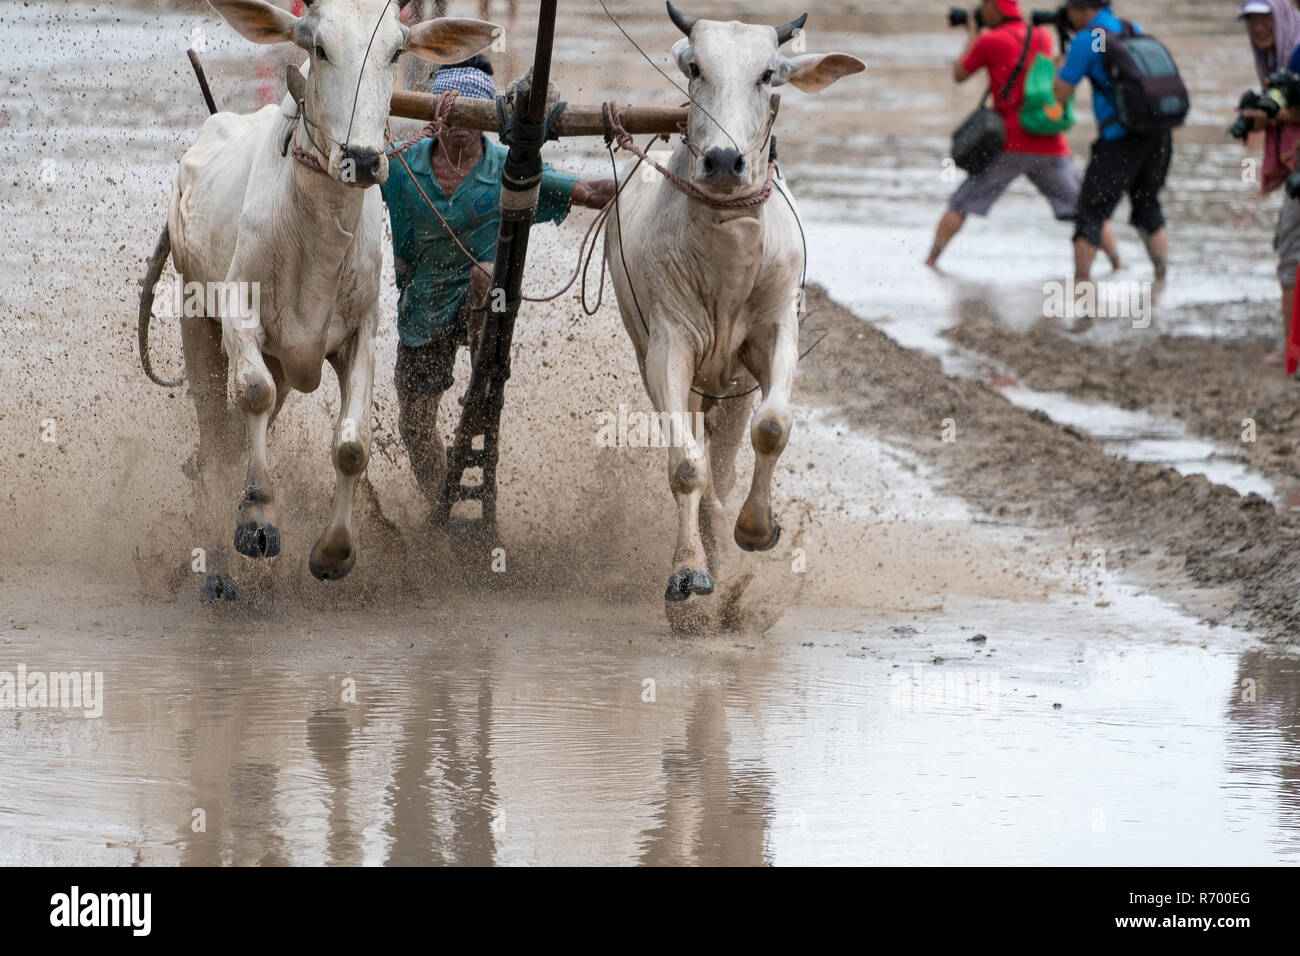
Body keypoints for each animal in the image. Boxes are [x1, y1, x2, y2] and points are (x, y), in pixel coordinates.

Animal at [144, 0, 498, 594]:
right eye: (319, 48)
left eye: (396, 52)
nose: (363, 158)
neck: (315, 231)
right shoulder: (239, 315)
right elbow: (254, 395)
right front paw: (257, 520)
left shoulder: (360, 334)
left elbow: (352, 446)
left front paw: (334, 551)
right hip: (198, 324)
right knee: (216, 441)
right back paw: (216, 565)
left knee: (235, 438)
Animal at [603, 3, 864, 606]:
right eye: (695, 67)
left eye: (768, 74)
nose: (724, 161)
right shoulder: (669, 346)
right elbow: (684, 467)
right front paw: (689, 568)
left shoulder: (775, 332)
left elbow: (771, 427)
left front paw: (756, 528)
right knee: (700, 450)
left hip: (732, 385)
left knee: (726, 453)